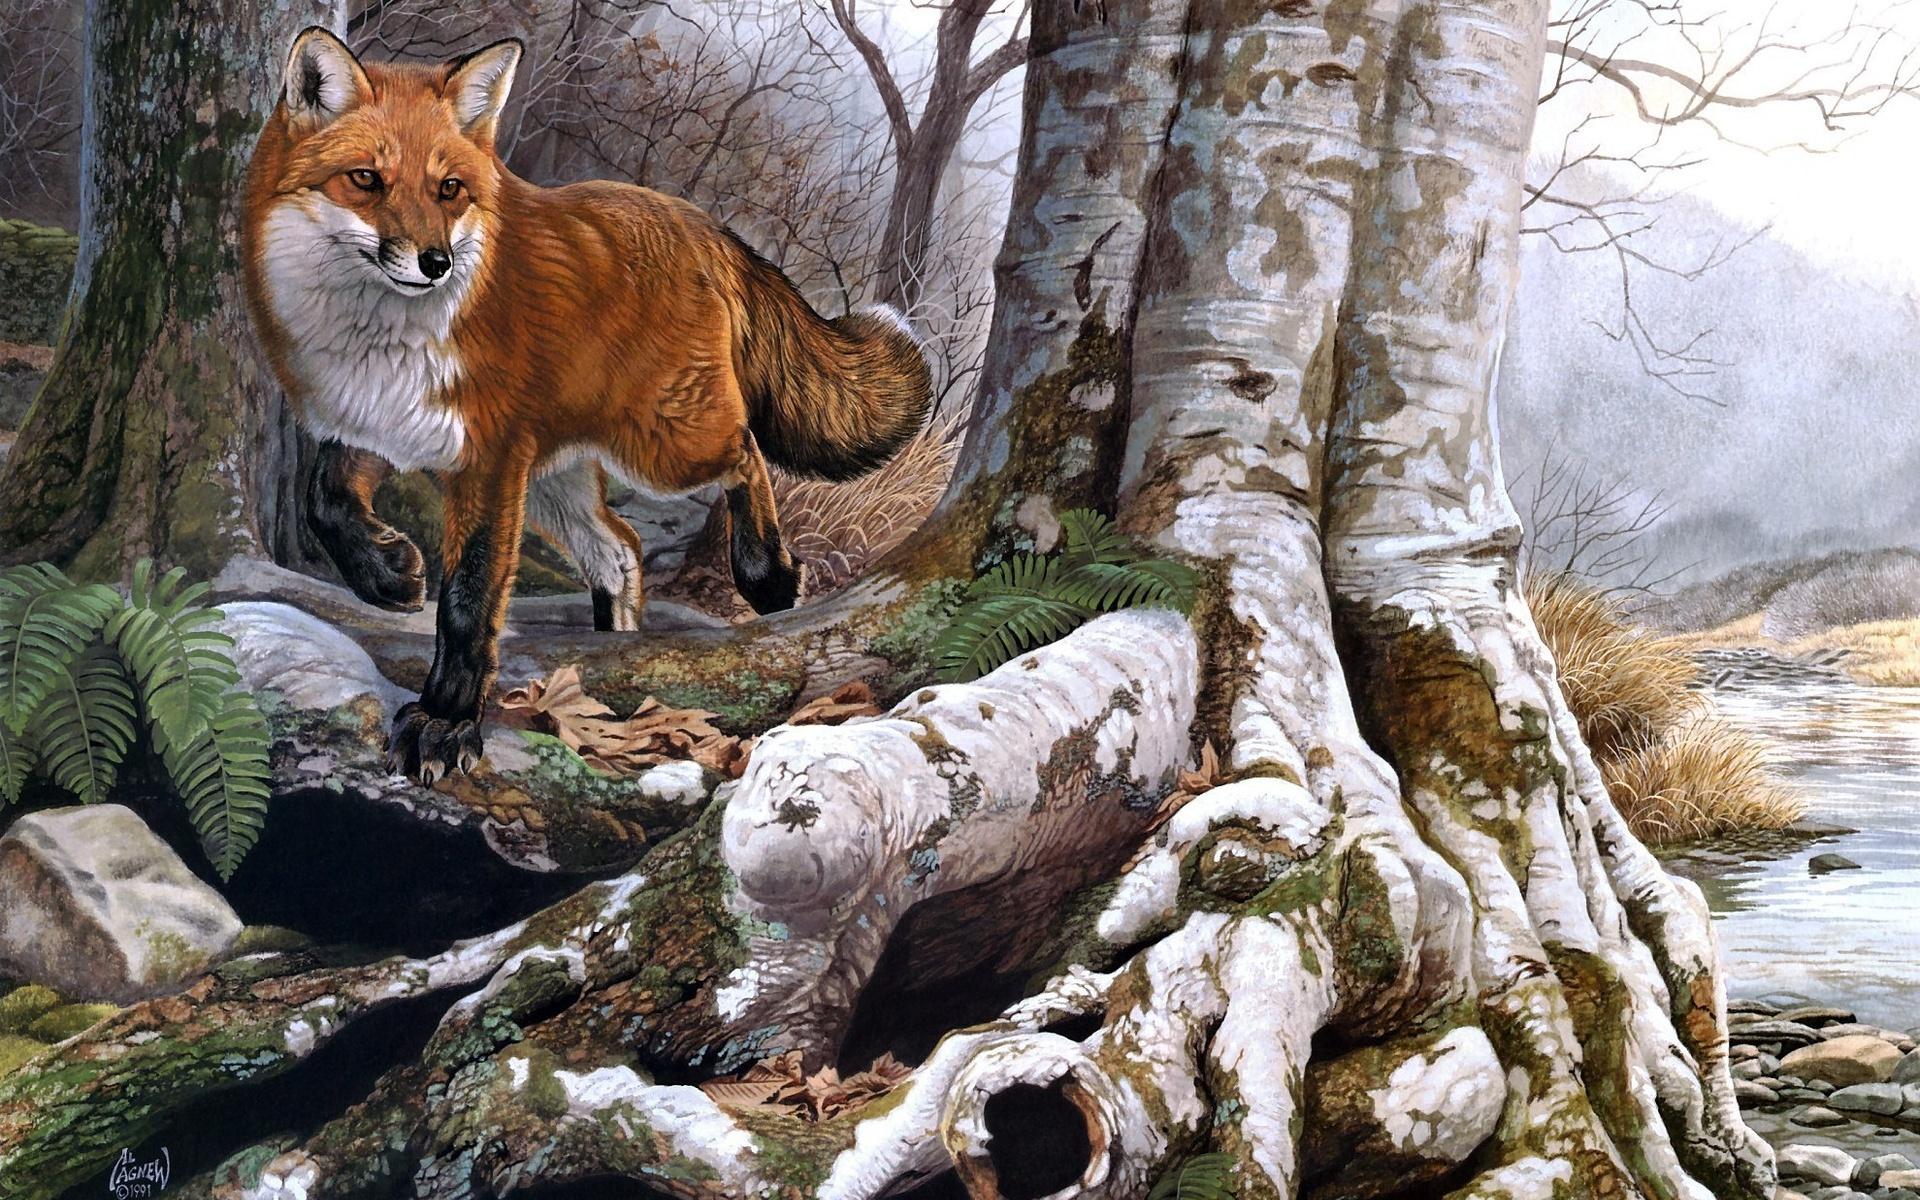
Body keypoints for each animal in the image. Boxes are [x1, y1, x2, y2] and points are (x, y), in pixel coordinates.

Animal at [242, 28, 931, 785]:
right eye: (366, 180)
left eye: (449, 190)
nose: (434, 263)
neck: (379, 339)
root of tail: (697, 220)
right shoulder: (381, 425)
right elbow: (325, 501)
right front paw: (390, 575)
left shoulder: (487, 459)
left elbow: (468, 599)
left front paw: (446, 722)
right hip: (553, 478)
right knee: (620, 550)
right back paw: (617, 646)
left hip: (663, 445)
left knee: (746, 453)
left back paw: (767, 574)